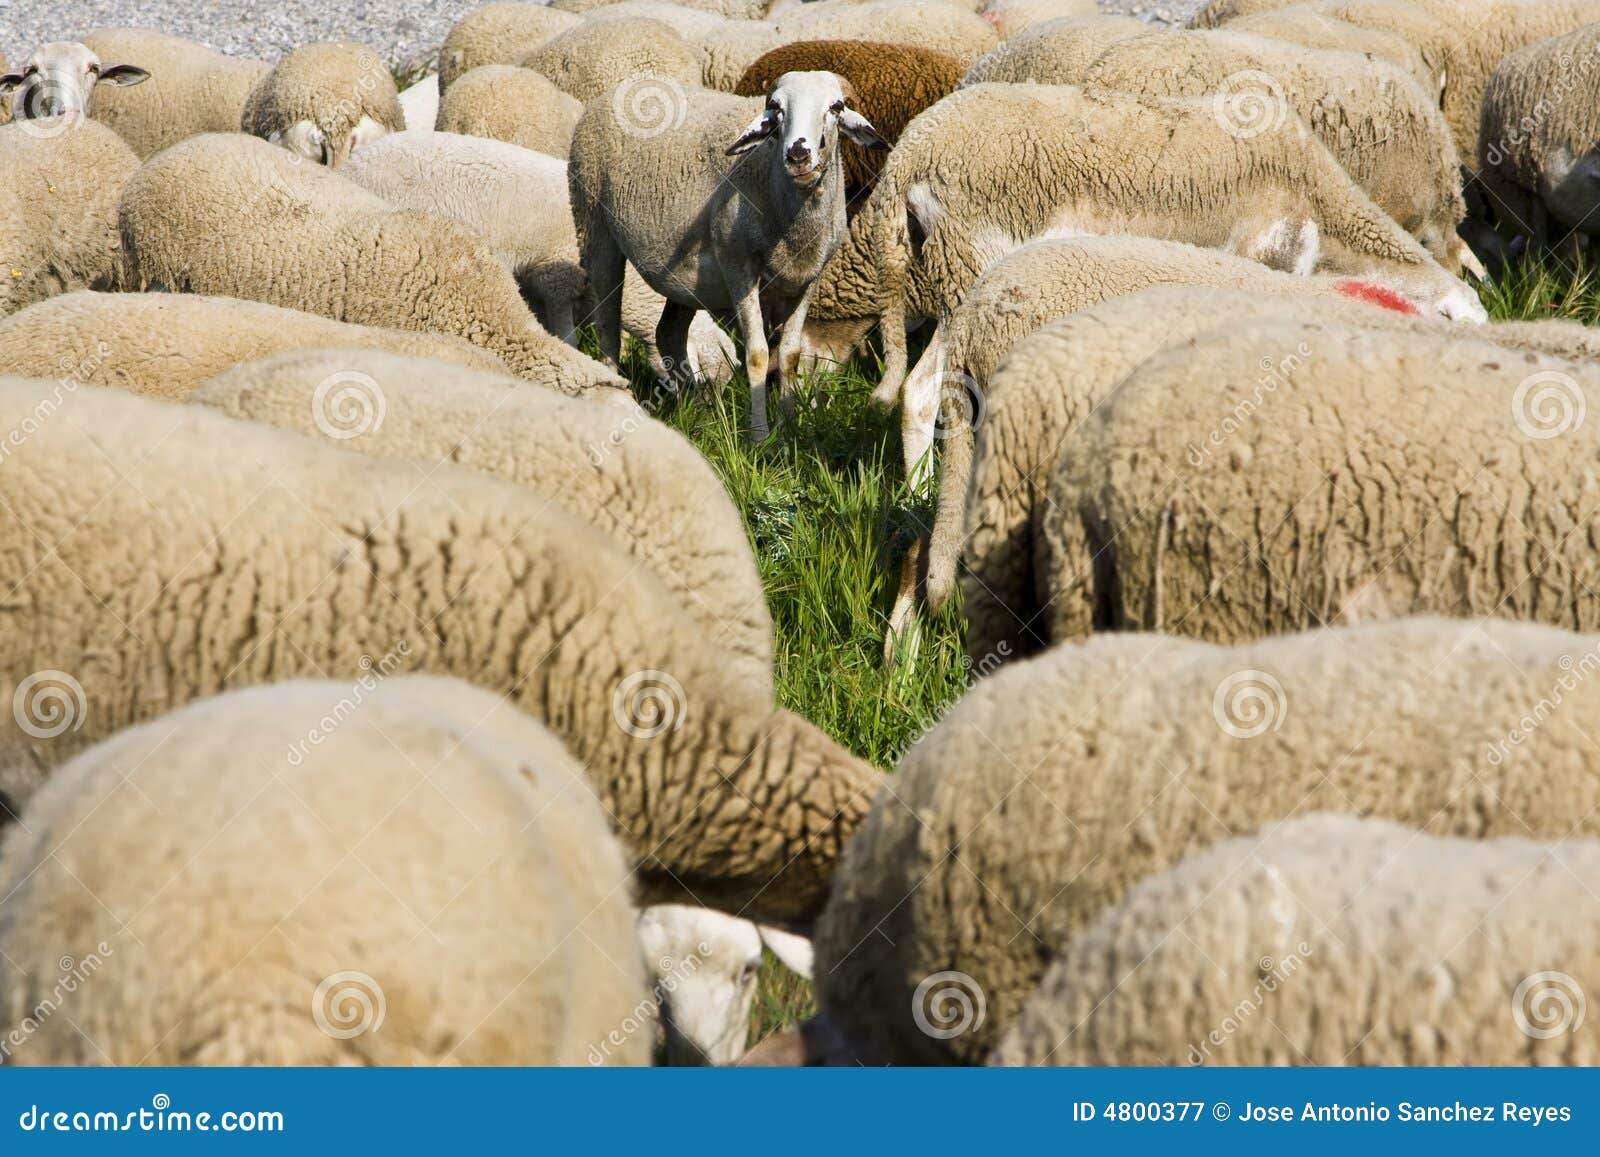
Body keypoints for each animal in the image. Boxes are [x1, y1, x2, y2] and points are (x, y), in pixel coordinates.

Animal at [570, 71, 884, 440]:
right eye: (776, 109)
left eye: (836, 107)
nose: (798, 154)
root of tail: (623, 87)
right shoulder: (739, 268)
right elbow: (758, 354)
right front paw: (761, 436)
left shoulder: (808, 279)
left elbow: (789, 355)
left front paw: (789, 429)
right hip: (595, 229)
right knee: (607, 327)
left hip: (685, 277)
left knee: (668, 333)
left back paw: (694, 408)